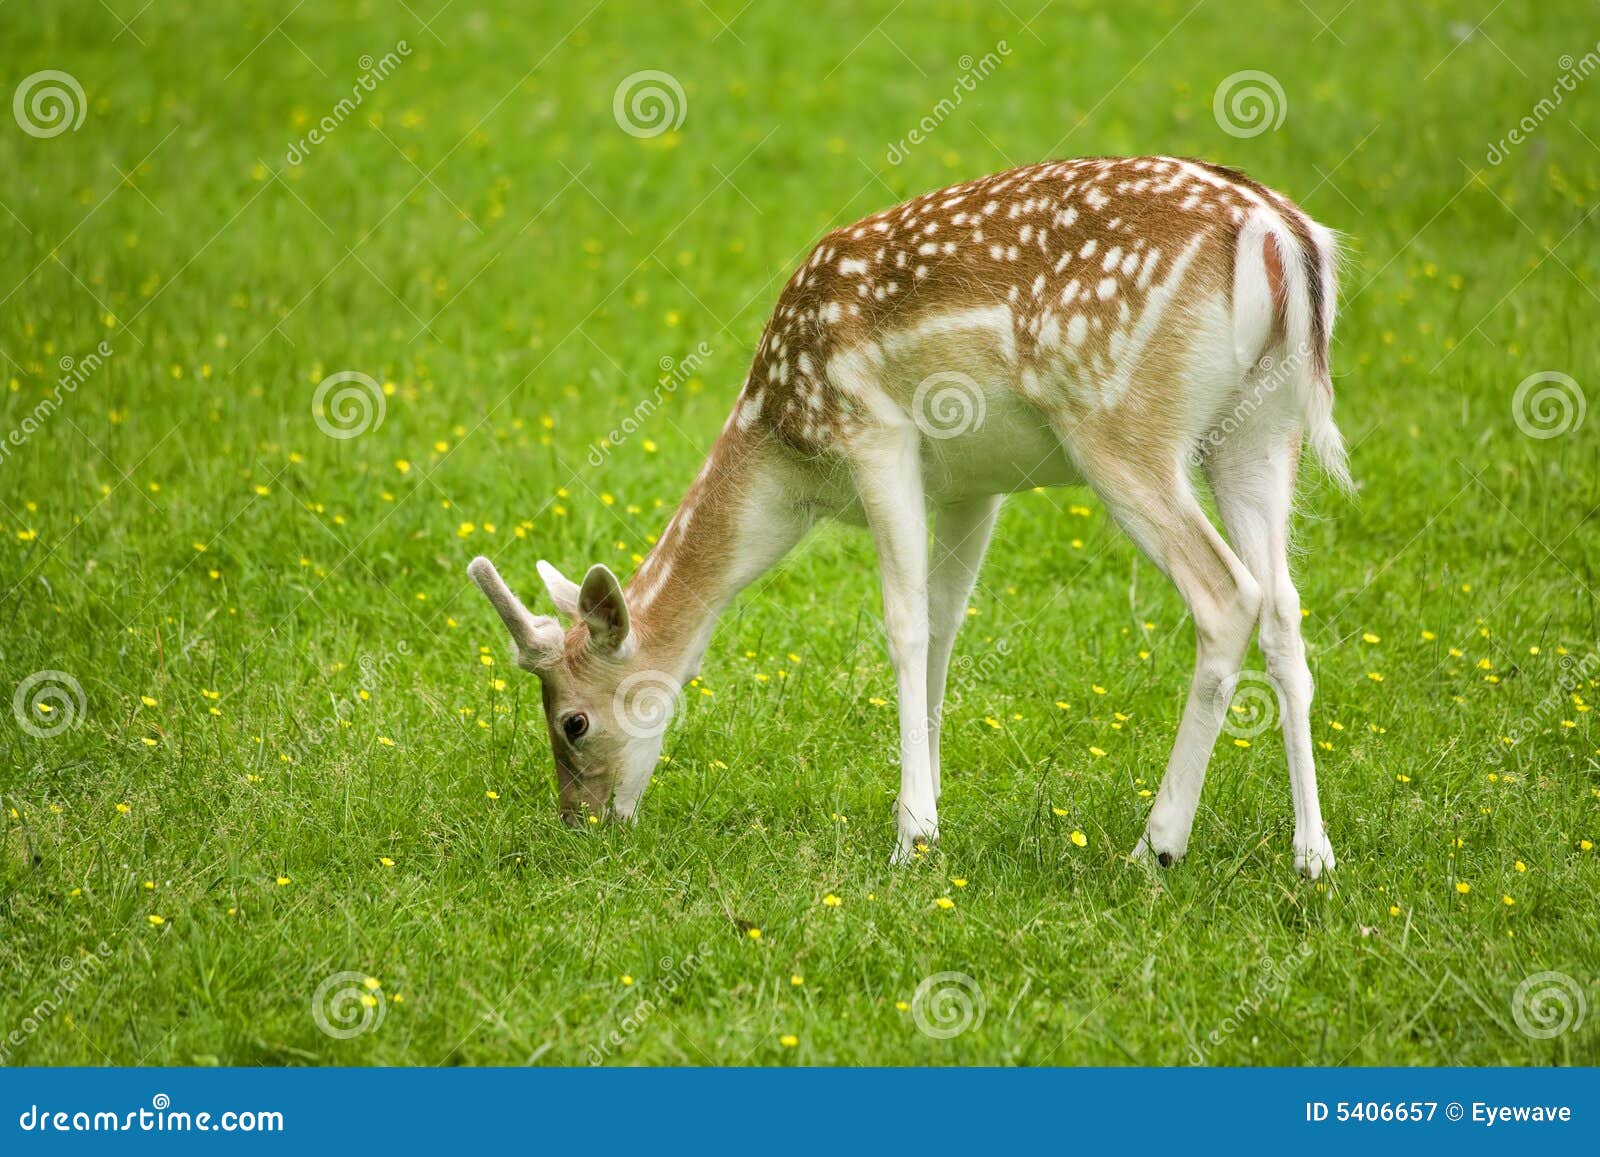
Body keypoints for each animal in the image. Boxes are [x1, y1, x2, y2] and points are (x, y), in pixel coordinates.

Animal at [469, 155, 1351, 878]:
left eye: (573, 721)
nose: (581, 822)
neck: (787, 452)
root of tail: (1278, 232)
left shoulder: (876, 433)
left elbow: (904, 624)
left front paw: (911, 837)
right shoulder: (972, 484)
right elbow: (947, 622)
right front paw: (933, 812)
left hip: (1121, 419)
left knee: (1227, 595)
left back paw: (1155, 847)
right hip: (1263, 429)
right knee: (1284, 607)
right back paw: (1313, 854)